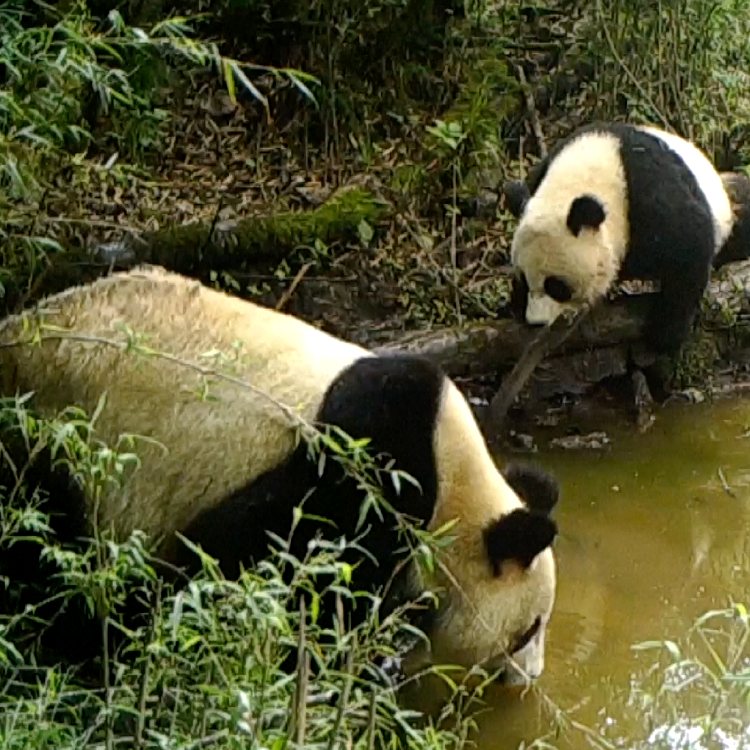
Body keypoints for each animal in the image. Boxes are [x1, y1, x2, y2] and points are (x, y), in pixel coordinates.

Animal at [0, 265, 560, 685]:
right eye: (528, 629)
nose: (529, 677)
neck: (456, 484)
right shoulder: (371, 461)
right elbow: (257, 560)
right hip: (57, 430)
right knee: (47, 540)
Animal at [502, 121, 750, 354]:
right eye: (524, 278)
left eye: (556, 286)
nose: (536, 321)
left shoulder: (649, 197)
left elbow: (690, 247)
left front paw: (664, 336)